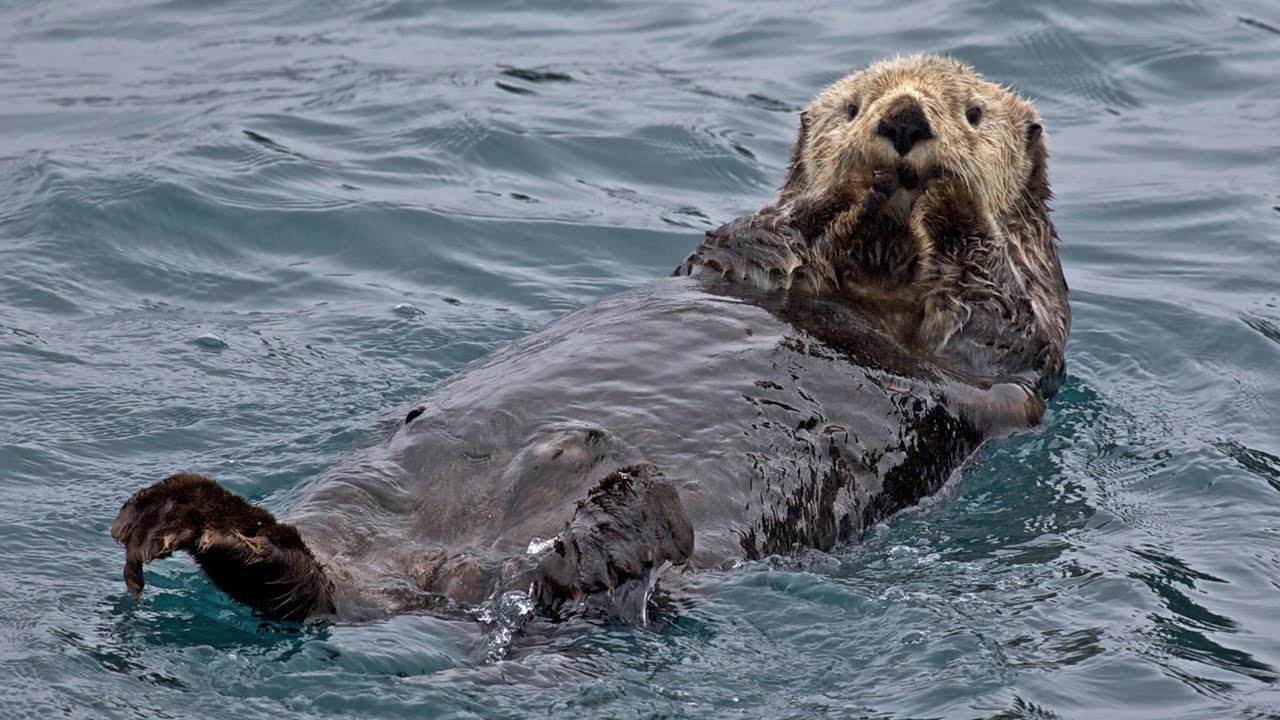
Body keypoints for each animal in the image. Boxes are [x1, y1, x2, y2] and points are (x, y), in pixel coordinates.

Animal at [111, 55, 1068, 624]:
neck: (873, 275)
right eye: (851, 104)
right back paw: (200, 521)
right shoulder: (731, 262)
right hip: (361, 501)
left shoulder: (1019, 349)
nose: (903, 121)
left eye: (972, 112)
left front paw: (946, 197)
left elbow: (994, 312)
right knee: (308, 583)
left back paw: (614, 518)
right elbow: (747, 241)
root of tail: (450, 583)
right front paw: (835, 196)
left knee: (583, 584)